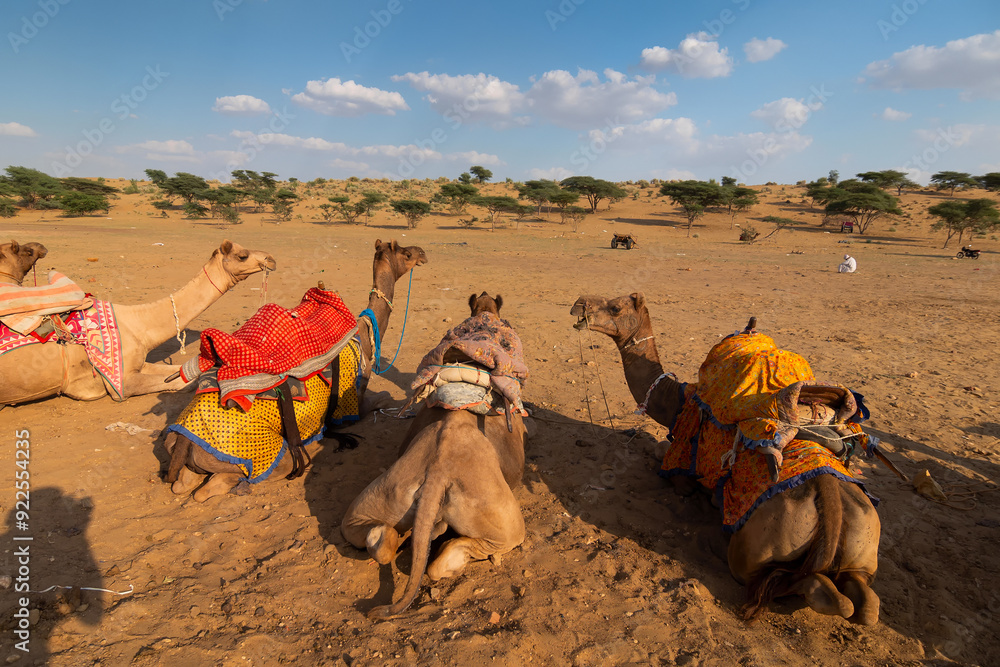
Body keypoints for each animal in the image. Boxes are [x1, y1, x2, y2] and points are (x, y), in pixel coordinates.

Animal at [0, 240, 275, 406]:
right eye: (242, 255)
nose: (271, 258)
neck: (138, 324)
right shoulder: (120, 383)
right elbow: (182, 383)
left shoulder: (138, 364)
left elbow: (180, 371)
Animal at [164, 239, 428, 502]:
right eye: (406, 253)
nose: (422, 253)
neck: (365, 334)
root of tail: (183, 442)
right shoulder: (351, 407)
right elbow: (382, 398)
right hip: (259, 454)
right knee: (214, 487)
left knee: (182, 484)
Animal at [341, 293, 527, 618]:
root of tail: (437, 474)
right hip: (500, 514)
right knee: (473, 551)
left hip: (387, 492)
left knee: (369, 532)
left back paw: (403, 538)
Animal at [570, 293, 881, 625]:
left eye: (615, 307)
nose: (578, 305)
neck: (678, 400)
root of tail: (831, 505)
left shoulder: (681, 464)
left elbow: (665, 461)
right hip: (862, 553)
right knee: (861, 602)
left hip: (752, 555)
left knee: (788, 582)